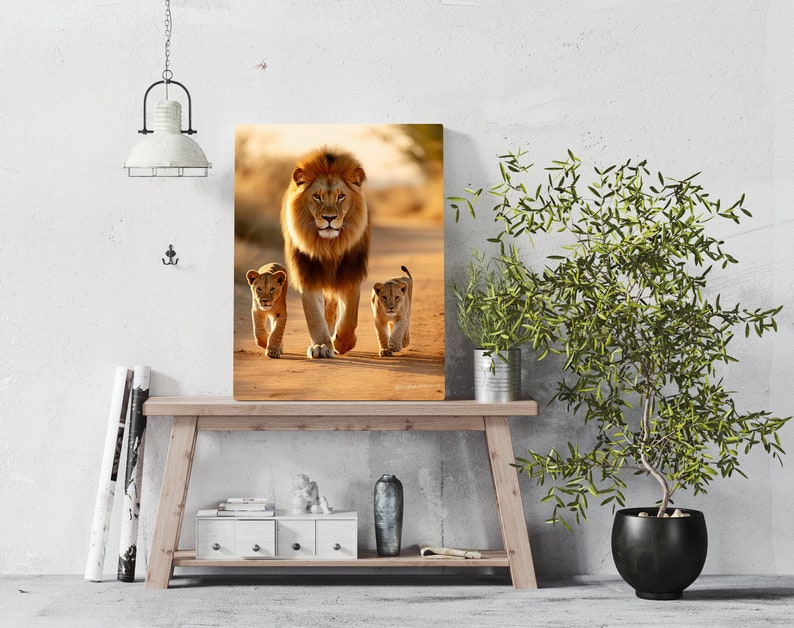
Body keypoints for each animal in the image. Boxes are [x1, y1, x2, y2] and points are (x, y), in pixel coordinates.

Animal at [281, 146, 370, 359]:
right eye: (317, 196)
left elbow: (351, 315)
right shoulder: (308, 273)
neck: (329, 246)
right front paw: (321, 345)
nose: (329, 218)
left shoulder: (351, 272)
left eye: (341, 196)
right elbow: (314, 315)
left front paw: (342, 342)